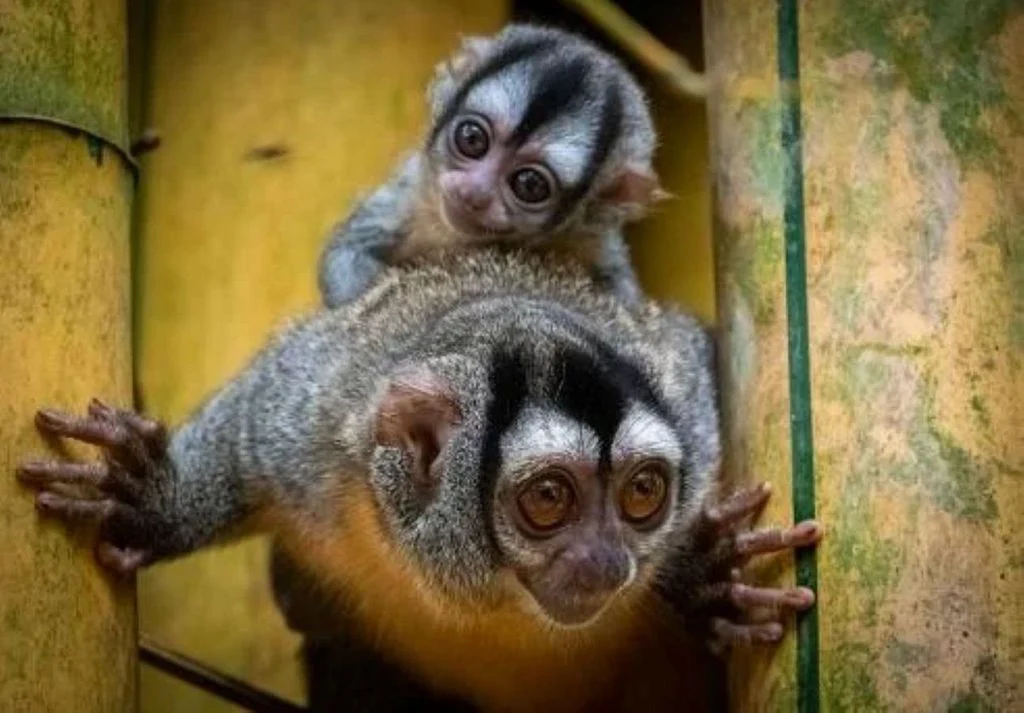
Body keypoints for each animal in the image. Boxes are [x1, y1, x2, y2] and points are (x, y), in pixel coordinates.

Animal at [18, 250, 821, 712]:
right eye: (548, 498)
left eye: (644, 492)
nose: (607, 563)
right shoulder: (315, 426)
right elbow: (247, 427)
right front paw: (151, 504)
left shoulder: (692, 403)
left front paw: (705, 579)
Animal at [318, 23, 666, 309]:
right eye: (472, 139)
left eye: (530, 184)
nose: (474, 192)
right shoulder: (413, 189)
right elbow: (348, 250)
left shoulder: (593, 240)